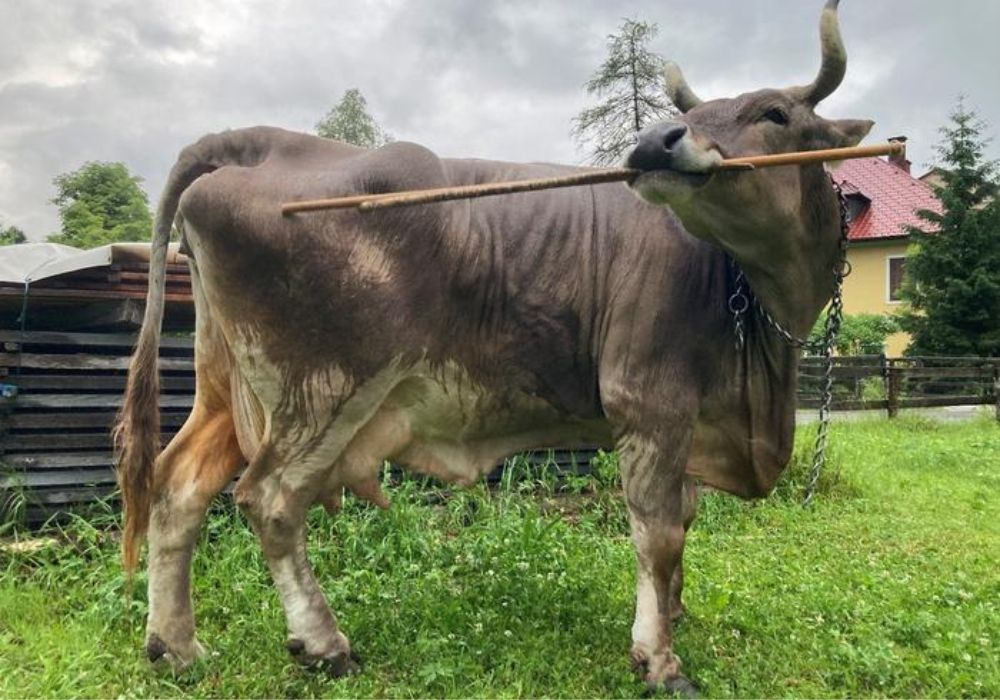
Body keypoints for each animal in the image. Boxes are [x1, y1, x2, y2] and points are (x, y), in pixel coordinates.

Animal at [115, 0, 871, 693]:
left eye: (774, 112)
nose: (656, 141)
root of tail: (259, 140)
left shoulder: (691, 420)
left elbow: (681, 522)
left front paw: (673, 617)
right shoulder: (649, 403)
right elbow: (658, 535)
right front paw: (659, 659)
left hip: (228, 387)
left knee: (178, 489)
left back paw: (175, 646)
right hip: (324, 389)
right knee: (269, 500)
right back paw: (323, 644)